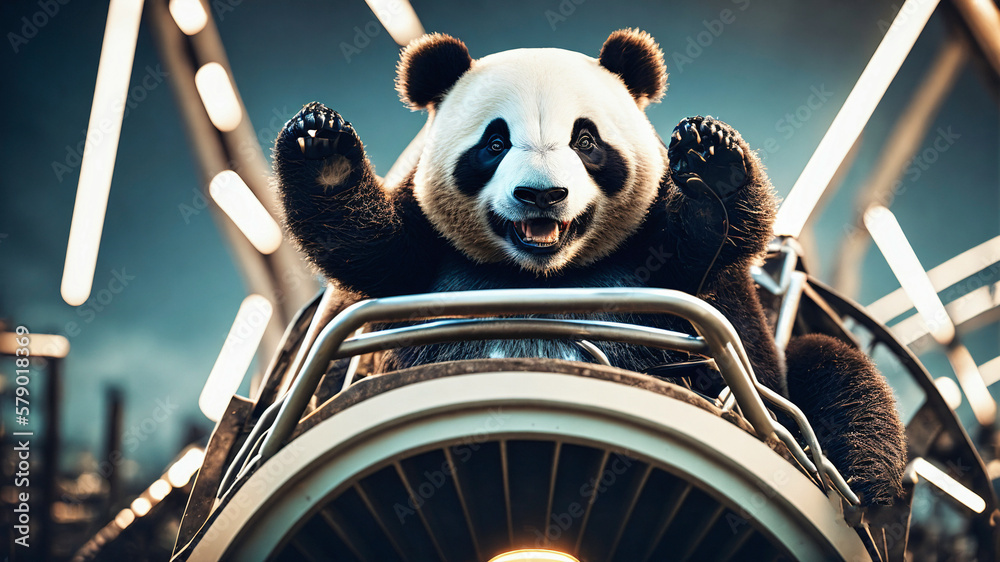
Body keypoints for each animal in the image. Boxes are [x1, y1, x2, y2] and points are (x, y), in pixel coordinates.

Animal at [272, 29, 905, 506]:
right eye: (494, 143)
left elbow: (710, 247)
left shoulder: (651, 251)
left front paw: (712, 160)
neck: (540, 278)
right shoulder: (428, 245)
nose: (541, 195)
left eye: (586, 140)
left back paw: (868, 482)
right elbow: (367, 248)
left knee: (837, 378)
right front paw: (323, 148)